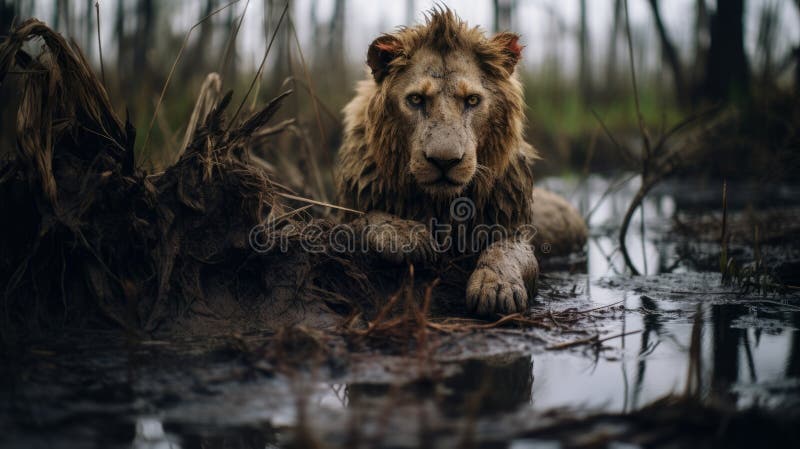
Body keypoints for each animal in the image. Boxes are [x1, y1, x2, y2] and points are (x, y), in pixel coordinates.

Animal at [336, 8, 587, 315]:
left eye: (472, 100)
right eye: (416, 99)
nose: (444, 161)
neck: (442, 207)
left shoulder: (515, 229)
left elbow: (506, 251)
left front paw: (496, 285)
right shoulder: (344, 213)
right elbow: (368, 216)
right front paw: (406, 234)